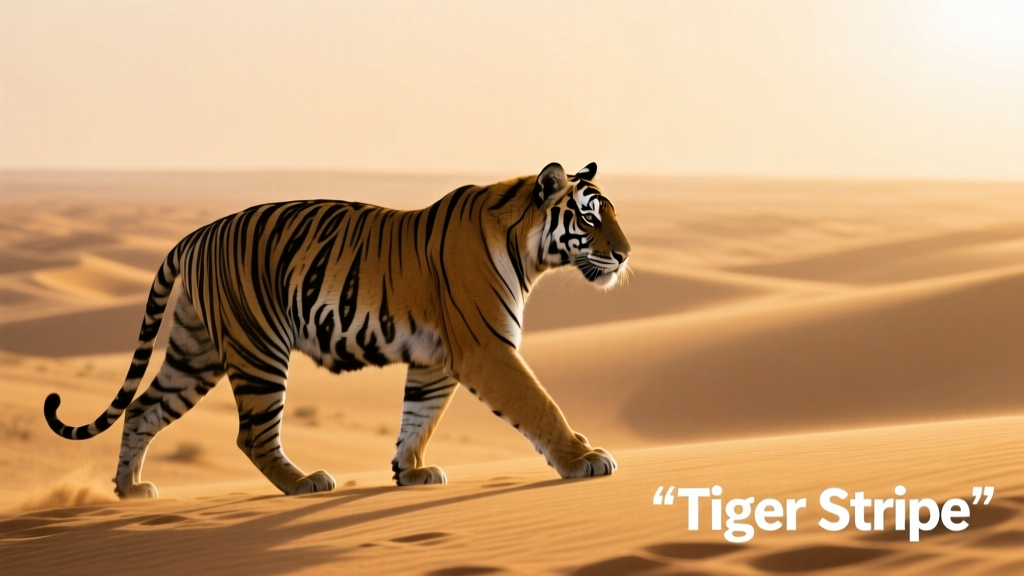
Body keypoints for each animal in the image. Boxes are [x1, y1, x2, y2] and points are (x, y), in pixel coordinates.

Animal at [43, 161, 631, 498]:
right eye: (590, 219)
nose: (626, 255)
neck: (530, 251)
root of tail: (195, 234)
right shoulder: (486, 349)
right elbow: (539, 404)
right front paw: (583, 459)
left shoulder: (436, 359)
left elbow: (418, 419)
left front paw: (409, 473)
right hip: (258, 348)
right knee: (251, 434)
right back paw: (303, 483)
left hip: (197, 352)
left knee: (143, 409)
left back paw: (129, 489)